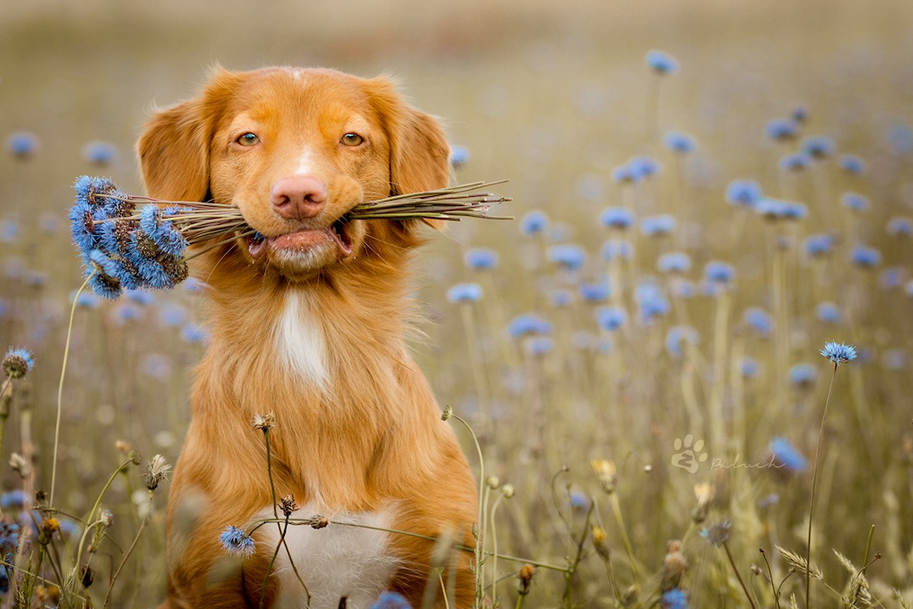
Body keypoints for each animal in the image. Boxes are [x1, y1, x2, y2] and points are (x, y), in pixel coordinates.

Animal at [137, 66, 478, 608]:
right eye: (247, 137)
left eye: (352, 137)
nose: (298, 194)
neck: (310, 330)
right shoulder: (207, 578)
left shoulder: (447, 572)